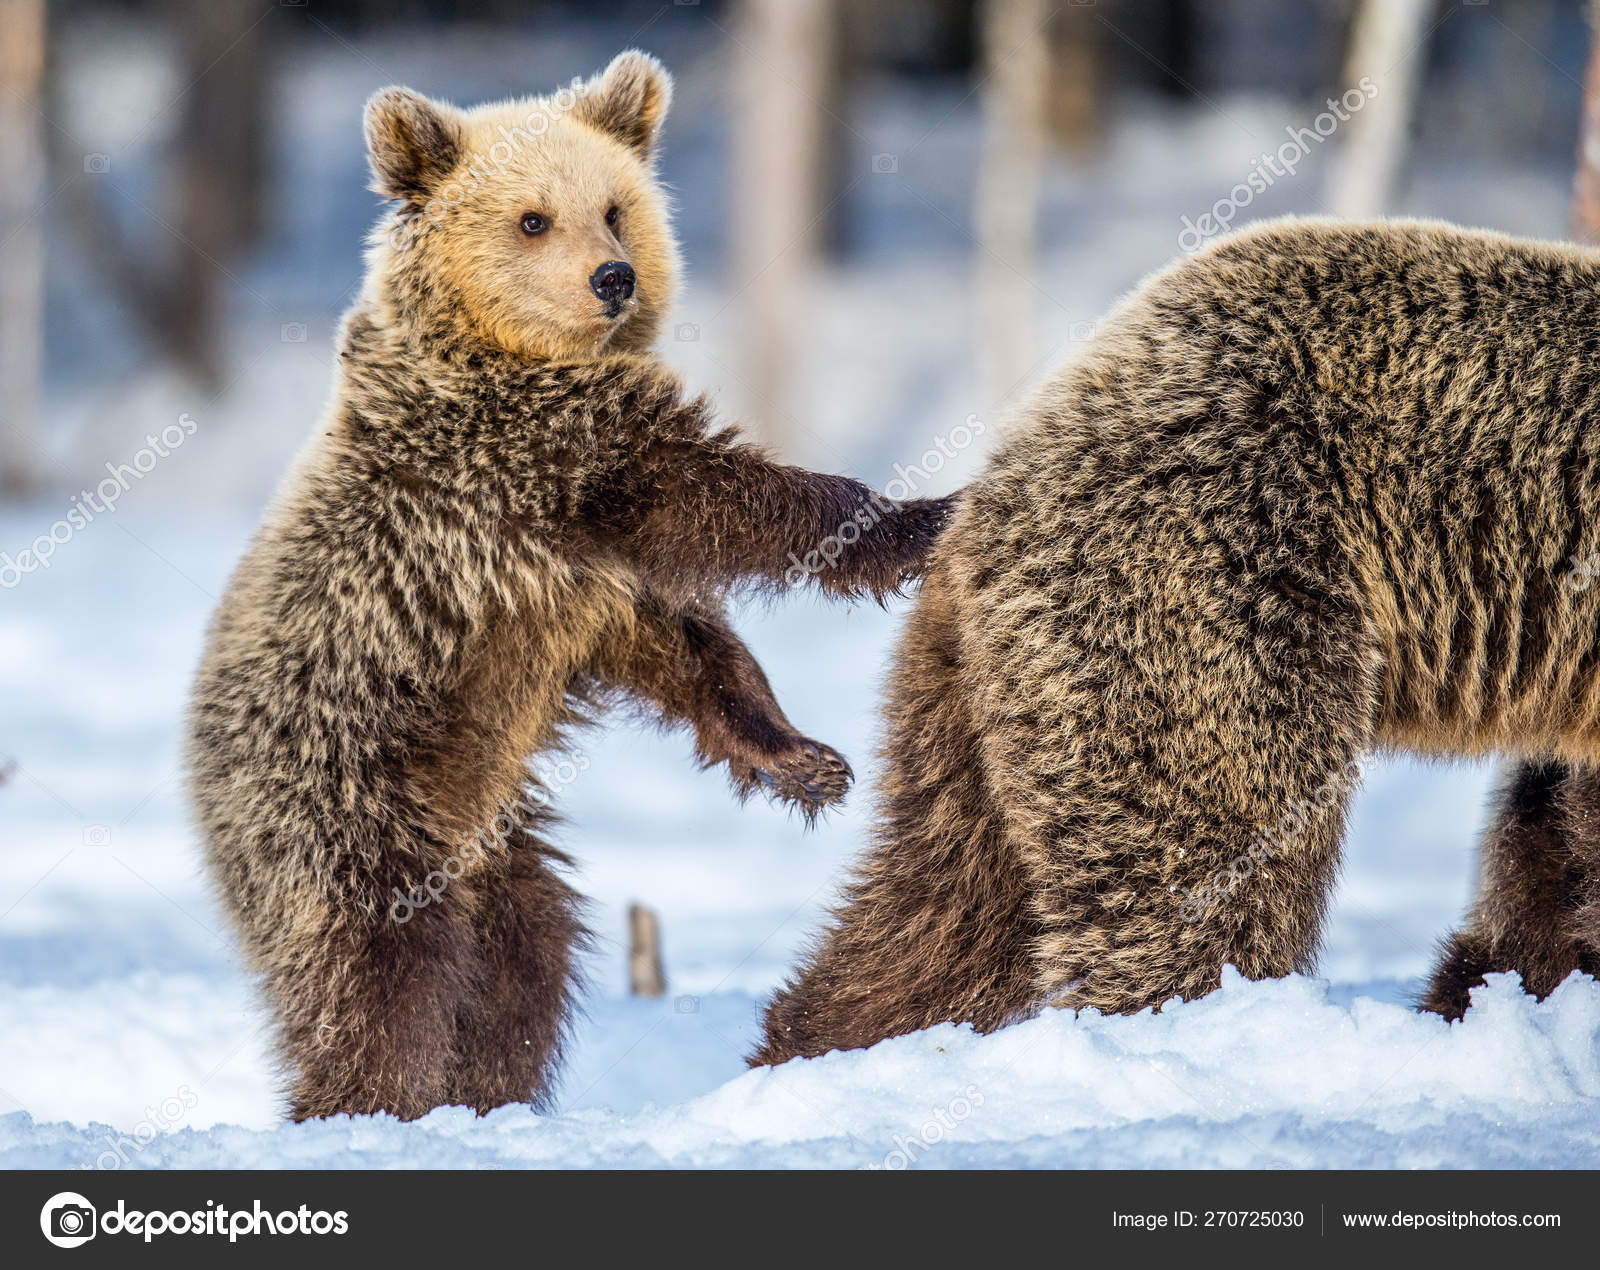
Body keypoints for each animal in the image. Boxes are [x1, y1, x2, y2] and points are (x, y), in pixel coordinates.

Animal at [185, 50, 952, 1121]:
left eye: (615, 207)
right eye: (532, 219)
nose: (613, 277)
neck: (511, 357)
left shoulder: (577, 576)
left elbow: (685, 644)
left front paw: (805, 761)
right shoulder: (536, 467)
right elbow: (723, 496)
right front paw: (914, 518)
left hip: (494, 839)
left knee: (523, 960)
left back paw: (489, 1092)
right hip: (348, 792)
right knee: (382, 970)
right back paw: (364, 1102)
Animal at [753, 215, 1600, 1066]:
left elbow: (1549, 836)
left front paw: (1503, 981)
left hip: (971, 687)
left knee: (942, 901)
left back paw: (814, 1042)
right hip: (1213, 582)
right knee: (1213, 853)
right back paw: (1214, 1031)